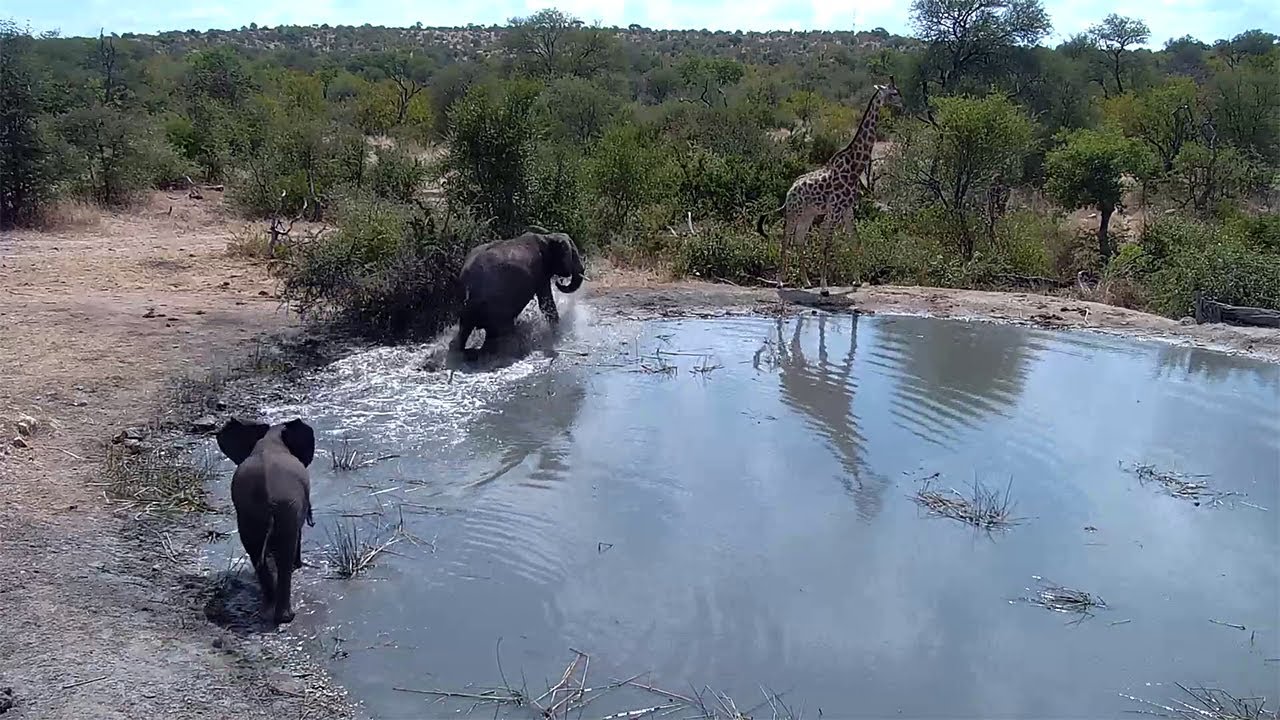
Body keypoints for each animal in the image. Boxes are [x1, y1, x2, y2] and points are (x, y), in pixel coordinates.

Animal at [215, 417, 316, 625]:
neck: (271, 437)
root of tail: (267, 496)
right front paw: (298, 566)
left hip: (249, 515)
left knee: (255, 550)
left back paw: (266, 612)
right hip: (286, 508)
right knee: (285, 552)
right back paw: (285, 616)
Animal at [450, 229, 585, 355]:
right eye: (573, 253)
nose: (558, 282)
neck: (547, 237)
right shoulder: (540, 271)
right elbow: (546, 304)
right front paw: (558, 334)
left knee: (468, 330)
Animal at [757, 78, 904, 294]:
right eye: (893, 93)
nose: (902, 104)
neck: (854, 167)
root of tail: (790, 190)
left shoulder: (848, 209)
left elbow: (855, 240)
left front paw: (856, 281)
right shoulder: (834, 210)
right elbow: (827, 245)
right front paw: (825, 287)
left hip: (808, 214)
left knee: (799, 239)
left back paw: (806, 282)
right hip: (793, 212)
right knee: (785, 240)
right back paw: (781, 282)